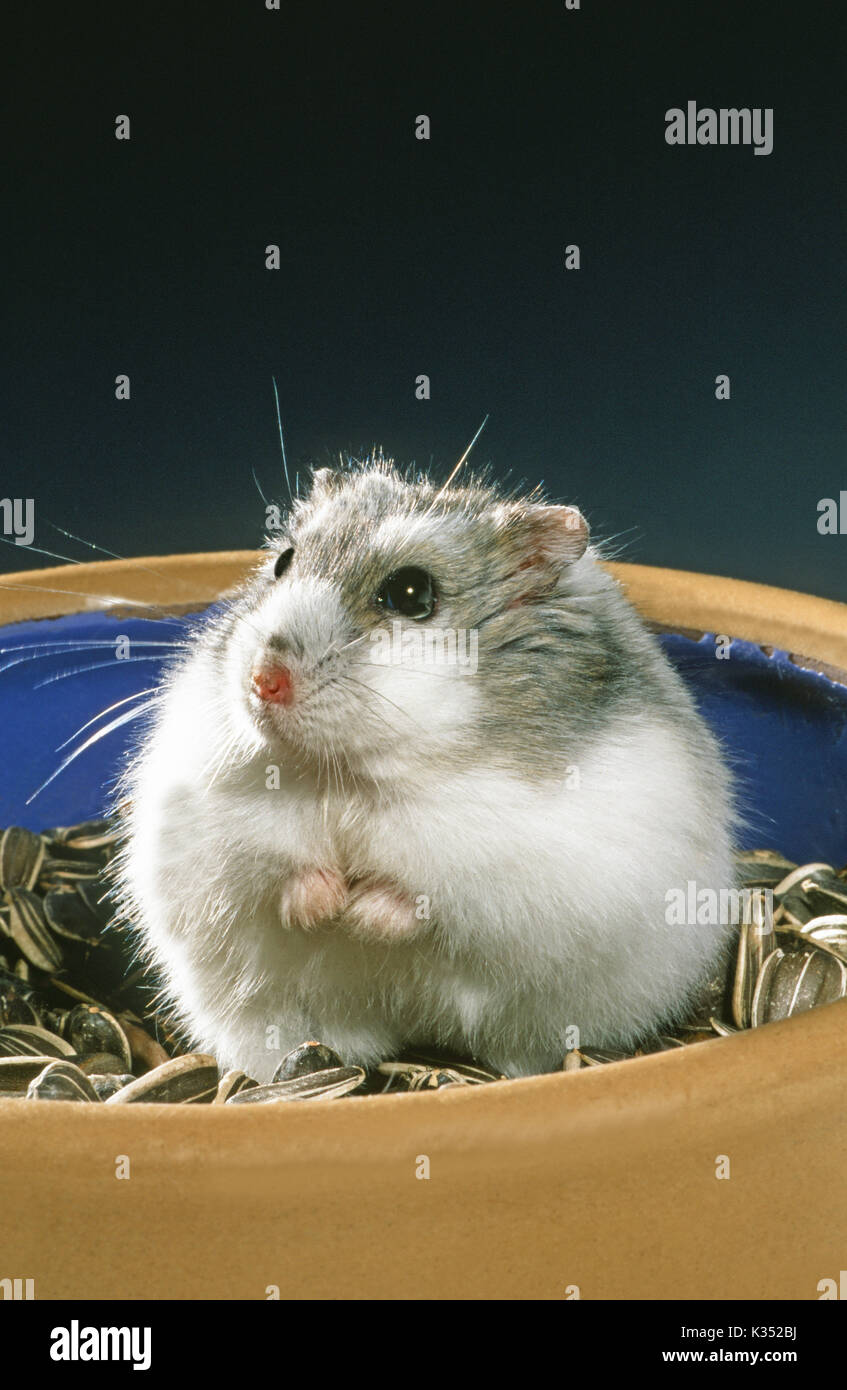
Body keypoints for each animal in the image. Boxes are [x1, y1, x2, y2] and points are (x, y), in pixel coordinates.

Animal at [116, 460, 736, 1081]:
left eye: (411, 593)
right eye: (283, 561)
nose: (262, 682)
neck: (350, 773)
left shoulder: (514, 869)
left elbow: (422, 898)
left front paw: (358, 912)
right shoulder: (216, 836)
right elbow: (281, 877)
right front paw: (327, 903)